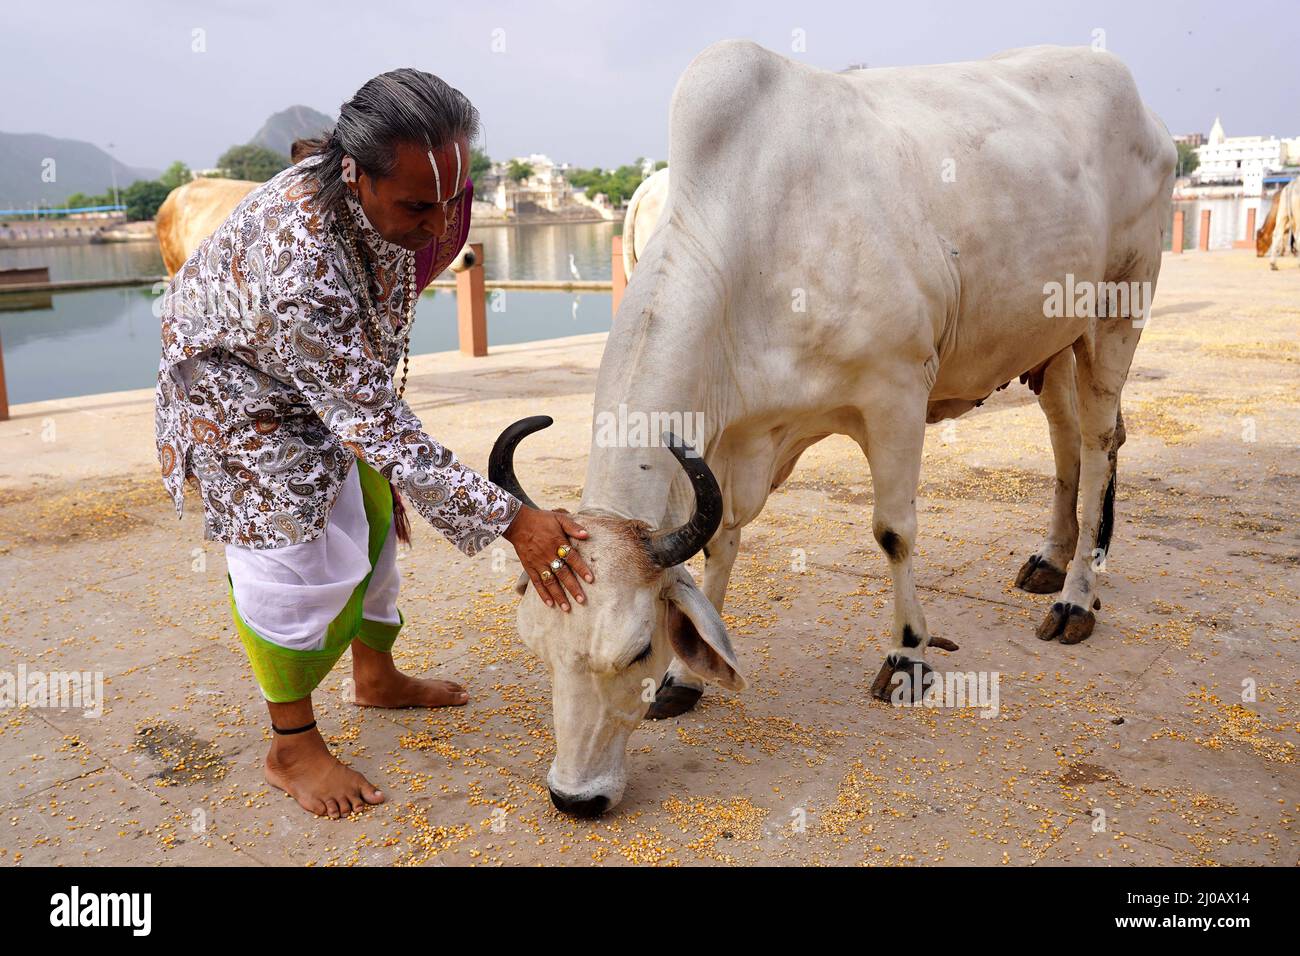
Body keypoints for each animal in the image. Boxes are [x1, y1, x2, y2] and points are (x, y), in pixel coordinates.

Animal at [488, 40, 1176, 816]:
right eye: (538, 648)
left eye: (635, 649)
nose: (574, 798)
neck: (754, 237)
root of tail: (1146, 113)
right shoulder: (727, 442)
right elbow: (720, 544)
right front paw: (686, 682)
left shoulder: (896, 391)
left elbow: (894, 532)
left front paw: (908, 654)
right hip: (1051, 340)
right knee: (1064, 441)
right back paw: (1050, 560)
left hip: (1118, 315)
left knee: (1097, 444)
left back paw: (1077, 595)